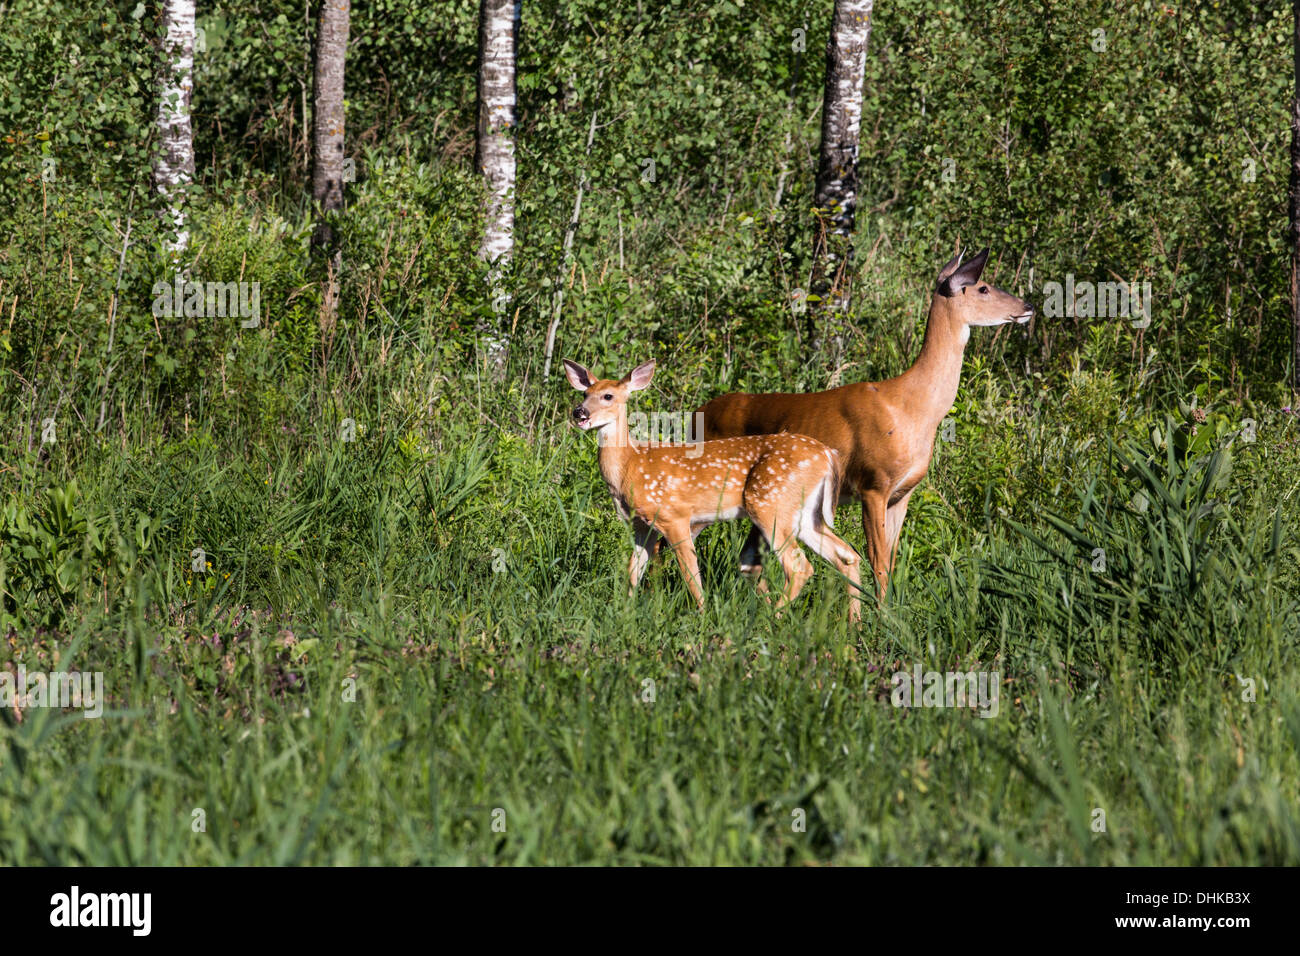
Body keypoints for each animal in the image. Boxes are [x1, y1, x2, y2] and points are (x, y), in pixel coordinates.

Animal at [564, 359, 864, 621]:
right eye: (585, 393)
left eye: (608, 396)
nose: (579, 412)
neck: (631, 466)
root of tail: (828, 455)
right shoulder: (640, 525)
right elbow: (633, 571)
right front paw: (624, 613)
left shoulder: (674, 516)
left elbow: (690, 574)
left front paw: (703, 615)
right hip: (805, 514)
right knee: (847, 555)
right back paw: (854, 624)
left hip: (770, 503)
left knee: (800, 566)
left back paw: (771, 618)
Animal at [695, 248, 1034, 603]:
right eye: (983, 287)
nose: (1028, 306)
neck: (912, 408)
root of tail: (695, 414)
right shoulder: (874, 484)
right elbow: (878, 560)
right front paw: (882, 614)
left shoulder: (902, 494)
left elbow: (892, 558)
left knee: (748, 559)